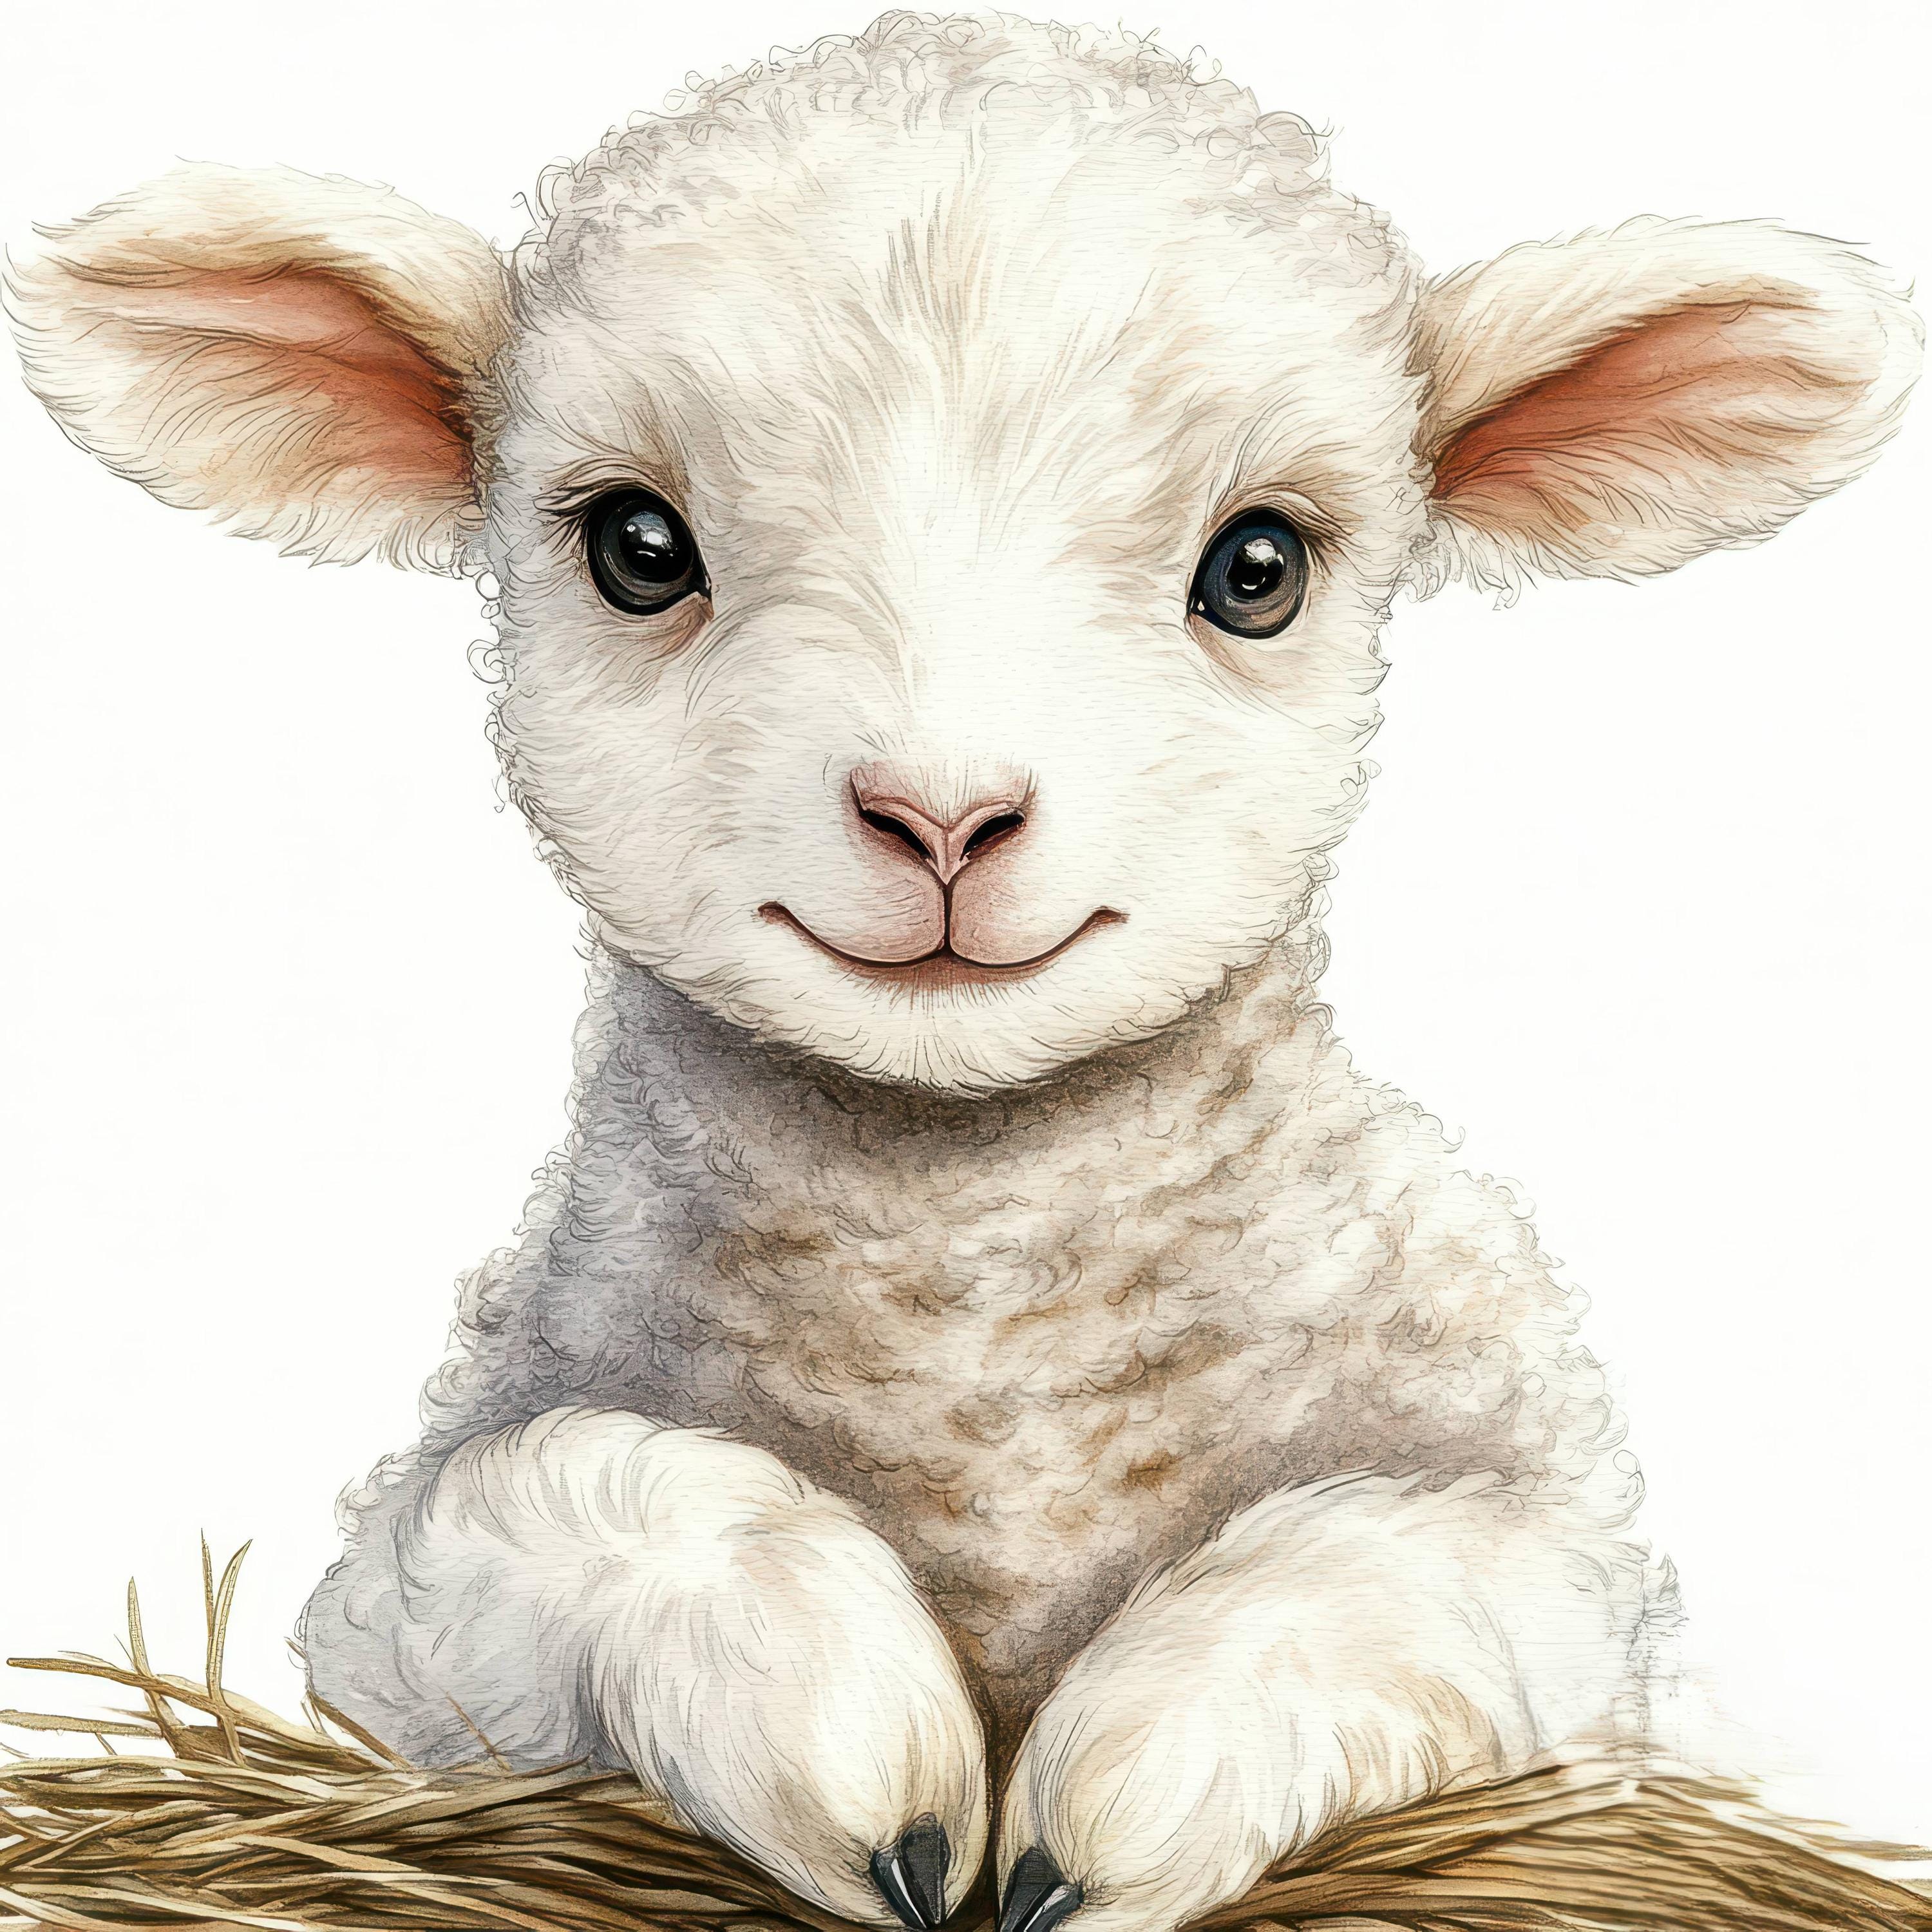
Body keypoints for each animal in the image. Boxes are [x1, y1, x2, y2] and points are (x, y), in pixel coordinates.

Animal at [7, 11, 1919, 1932]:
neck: (985, 1340)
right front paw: (865, 1768)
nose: (941, 812)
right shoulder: (399, 1614)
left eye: (1258, 567)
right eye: (637, 546)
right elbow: (565, 1494)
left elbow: (1394, 1565)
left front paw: (1123, 1803)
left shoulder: (1588, 1615)